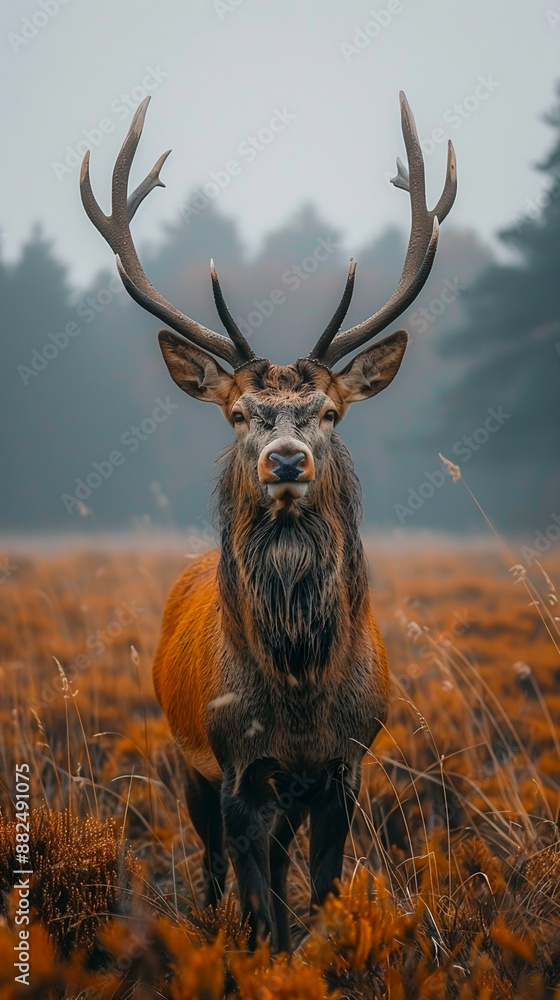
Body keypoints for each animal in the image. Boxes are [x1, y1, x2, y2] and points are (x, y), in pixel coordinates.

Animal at [80, 91, 456, 952]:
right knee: (216, 866)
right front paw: (262, 954)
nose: (286, 460)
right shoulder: (236, 766)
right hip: (186, 756)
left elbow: (318, 894)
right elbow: (256, 903)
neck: (298, 699)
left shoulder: (347, 765)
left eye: (329, 412)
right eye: (239, 414)